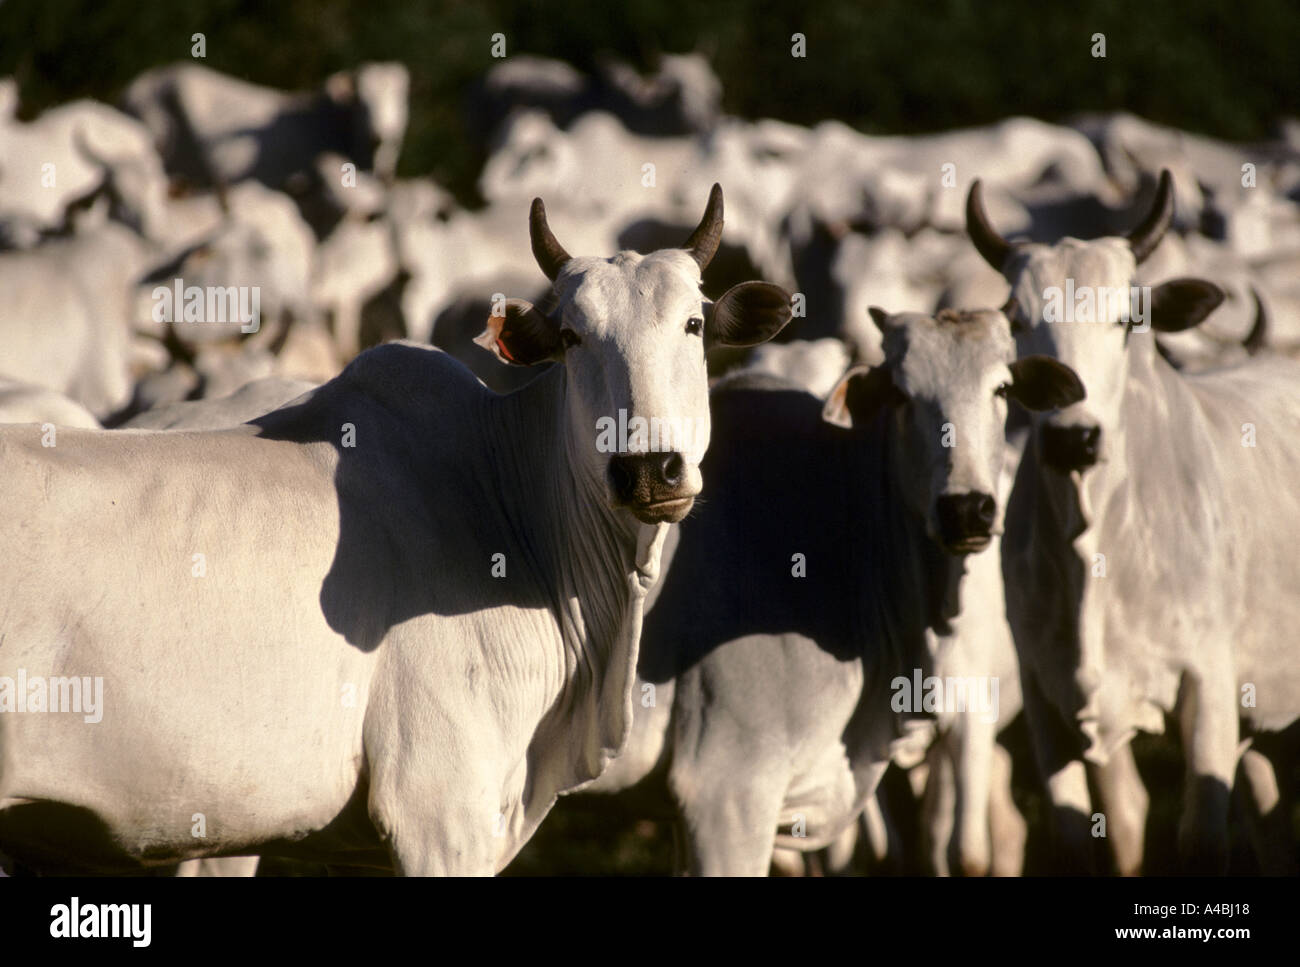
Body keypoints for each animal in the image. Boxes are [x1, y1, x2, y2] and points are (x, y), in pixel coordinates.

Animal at [968, 169, 1300, 874]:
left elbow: (1200, 839)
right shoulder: (1053, 703)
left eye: (1126, 319)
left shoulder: (1208, 690)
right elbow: (1102, 829)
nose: (1072, 437)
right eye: (1018, 321)